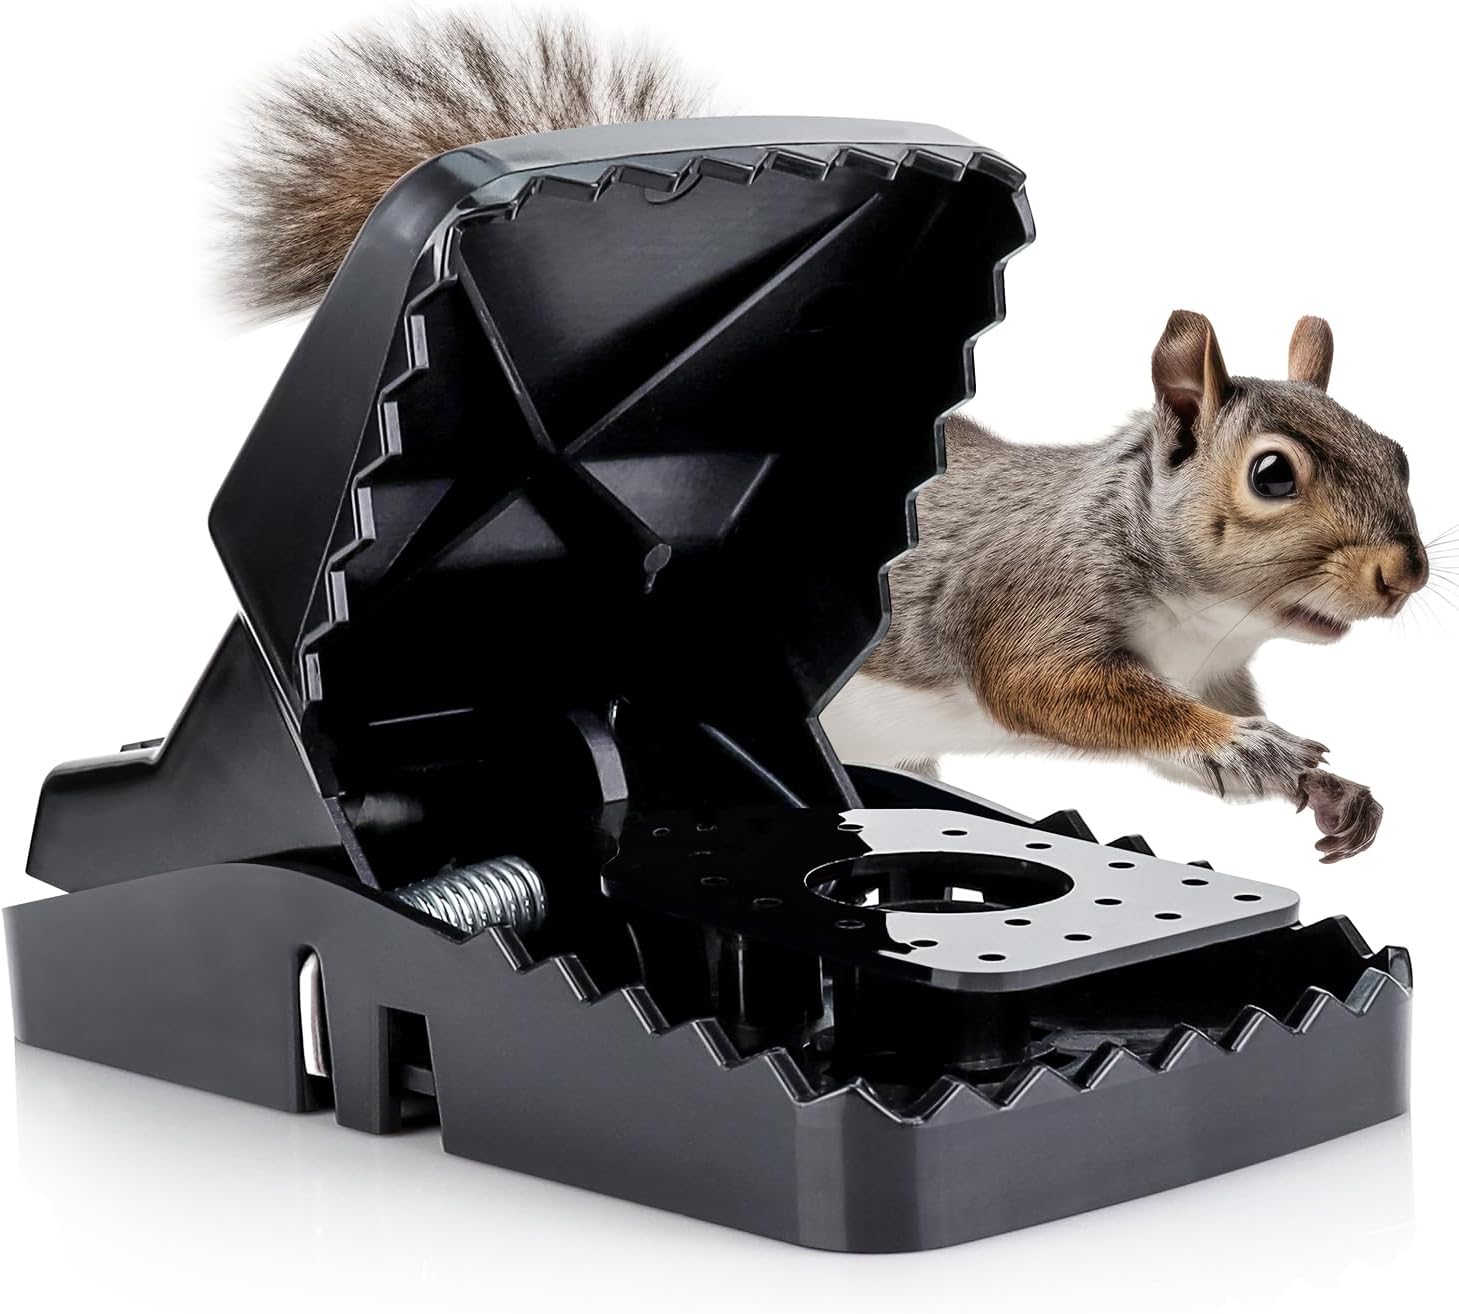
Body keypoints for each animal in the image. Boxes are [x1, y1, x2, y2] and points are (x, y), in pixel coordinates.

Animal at [822, 312, 1429, 862]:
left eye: (1397, 456)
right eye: (1272, 474)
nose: (1406, 574)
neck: (1202, 627)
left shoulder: (1212, 677)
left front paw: (1334, 791)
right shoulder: (1037, 593)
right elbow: (1038, 682)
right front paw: (1242, 743)